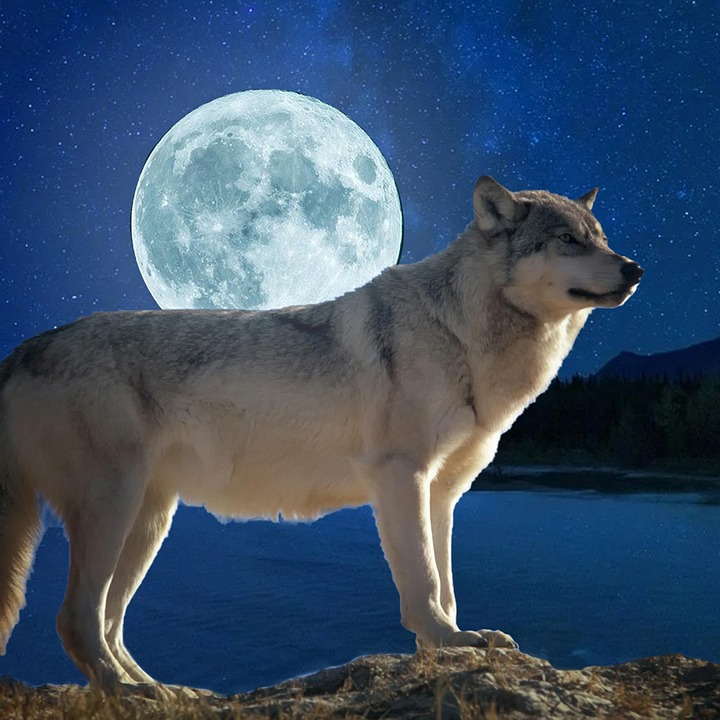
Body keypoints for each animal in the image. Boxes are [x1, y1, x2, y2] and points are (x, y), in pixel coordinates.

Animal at [0, 176, 642, 694]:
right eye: (568, 240)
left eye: (601, 236)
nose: (634, 268)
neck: (461, 332)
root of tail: (23, 349)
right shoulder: (400, 477)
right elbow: (424, 581)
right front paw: (448, 642)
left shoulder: (442, 494)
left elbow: (447, 584)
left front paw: (451, 644)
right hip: (114, 509)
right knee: (76, 619)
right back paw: (125, 693)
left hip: (149, 522)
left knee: (110, 623)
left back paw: (162, 690)